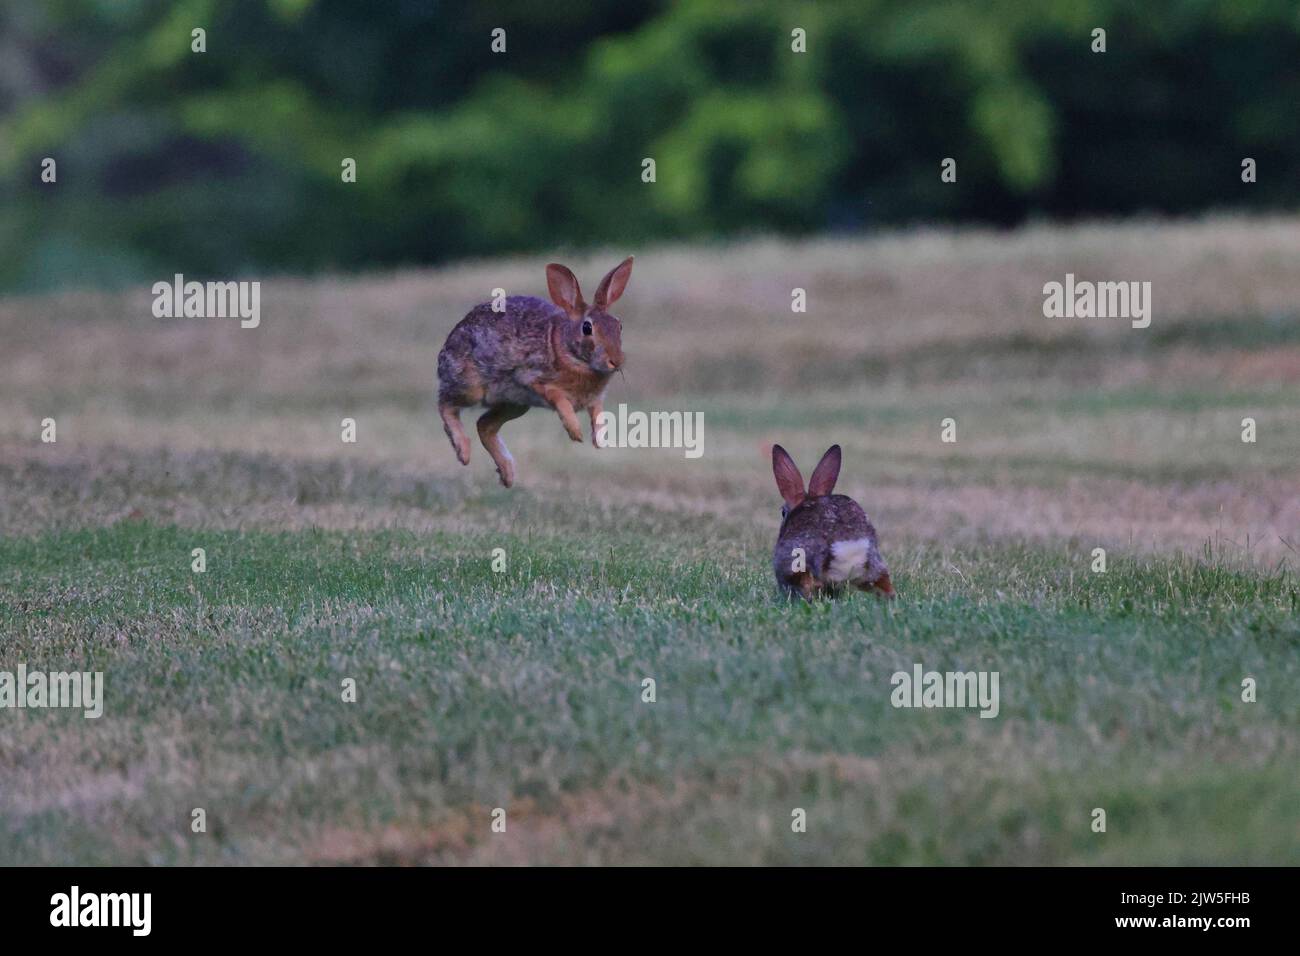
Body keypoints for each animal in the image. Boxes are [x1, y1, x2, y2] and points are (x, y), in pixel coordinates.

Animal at [437, 257, 633, 487]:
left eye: (619, 326)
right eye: (587, 328)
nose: (616, 361)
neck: (569, 352)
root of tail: (448, 345)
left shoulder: (595, 400)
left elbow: (598, 415)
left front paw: (600, 440)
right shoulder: (533, 379)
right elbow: (559, 399)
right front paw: (576, 432)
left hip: (515, 404)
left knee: (484, 425)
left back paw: (507, 474)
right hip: (471, 386)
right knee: (445, 405)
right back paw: (464, 451)